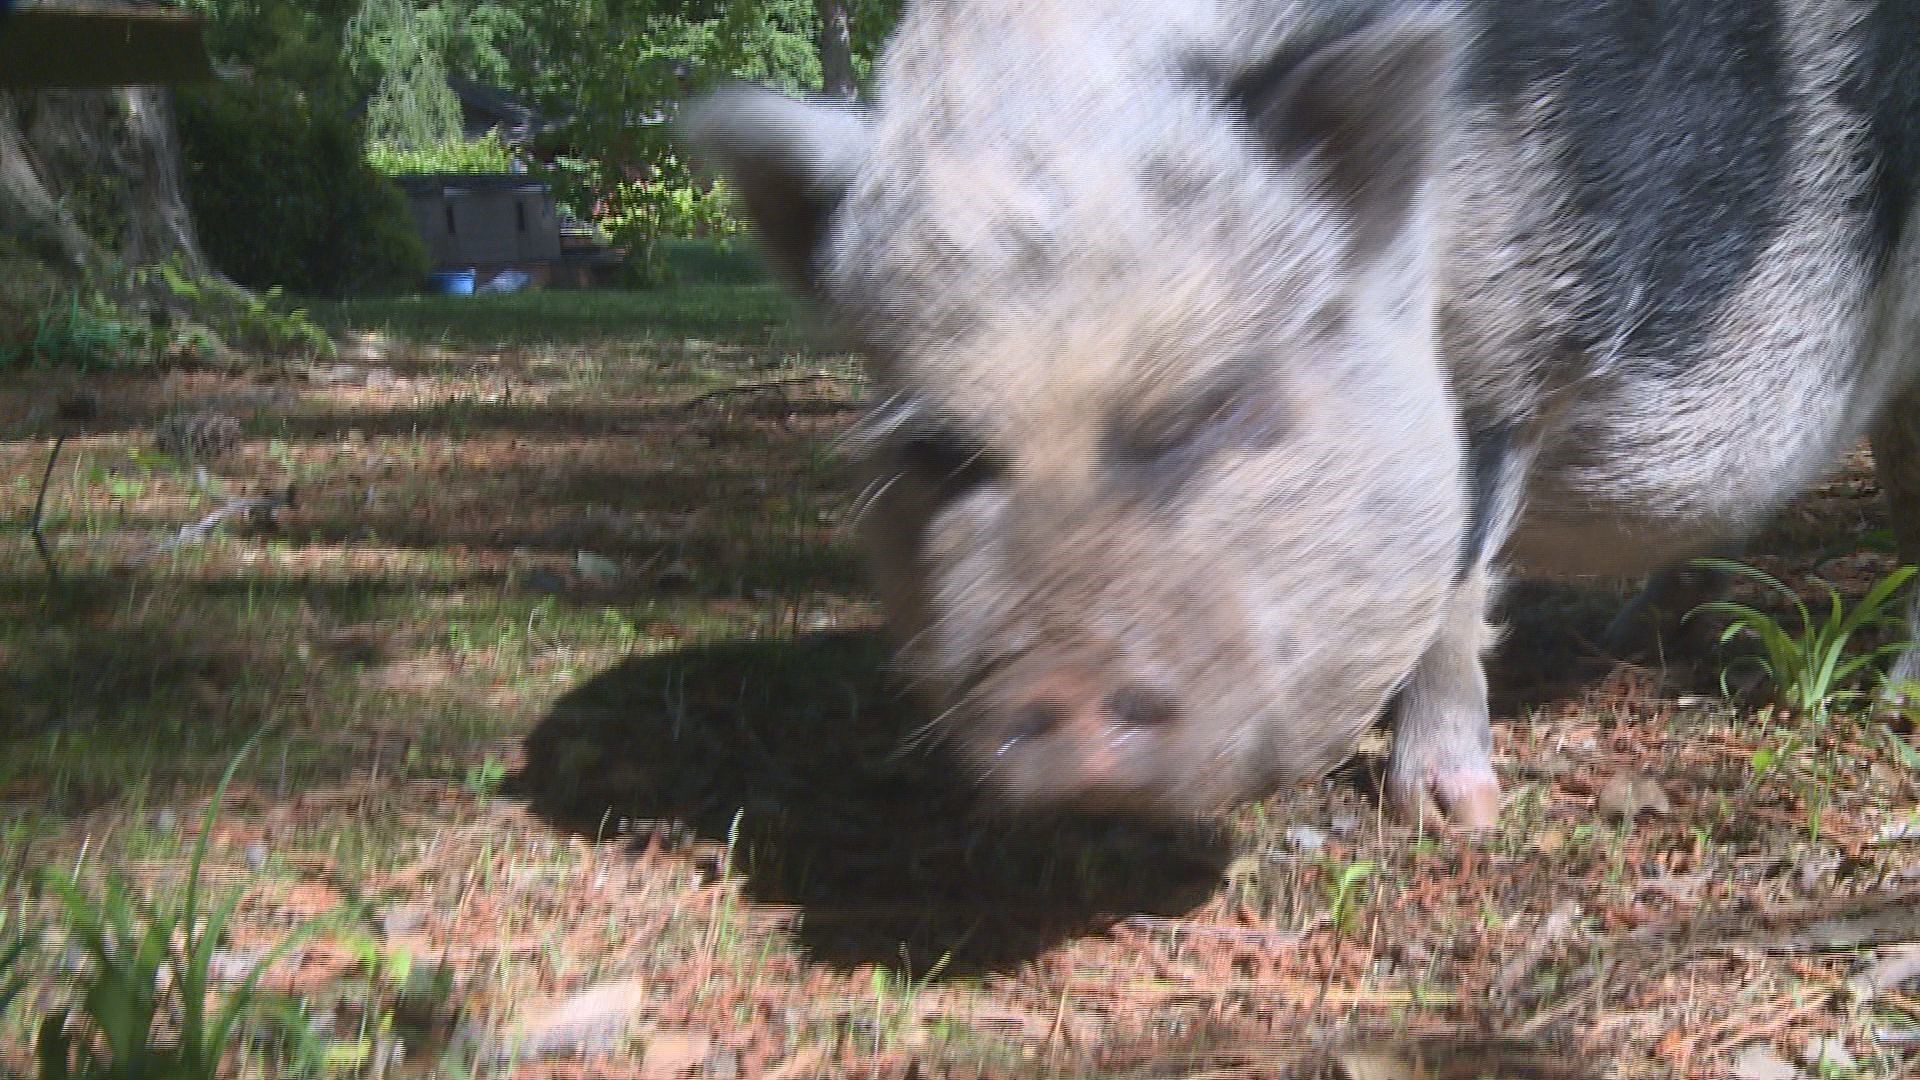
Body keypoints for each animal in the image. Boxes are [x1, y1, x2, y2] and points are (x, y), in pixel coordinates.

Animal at [682, 0, 1920, 829]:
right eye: (938, 451)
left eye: (1221, 403)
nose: (1057, 680)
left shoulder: (1512, 354)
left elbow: (1454, 584)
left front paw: (1450, 819)